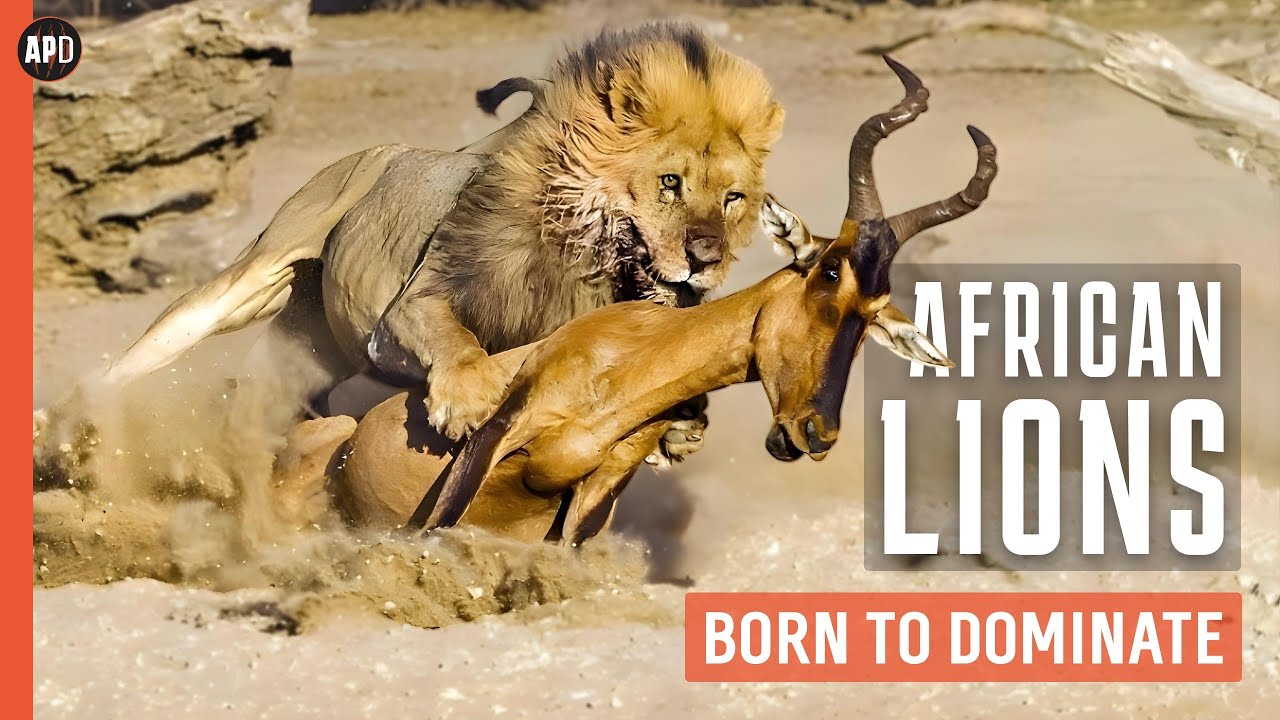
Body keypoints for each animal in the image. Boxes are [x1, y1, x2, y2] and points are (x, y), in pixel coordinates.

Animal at [36, 23, 784, 468]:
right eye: (669, 183)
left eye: (732, 198)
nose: (706, 259)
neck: (582, 263)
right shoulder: (408, 311)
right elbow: (456, 339)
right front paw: (468, 400)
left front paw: (684, 426)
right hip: (245, 282)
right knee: (132, 361)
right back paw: (61, 427)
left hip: (314, 346)